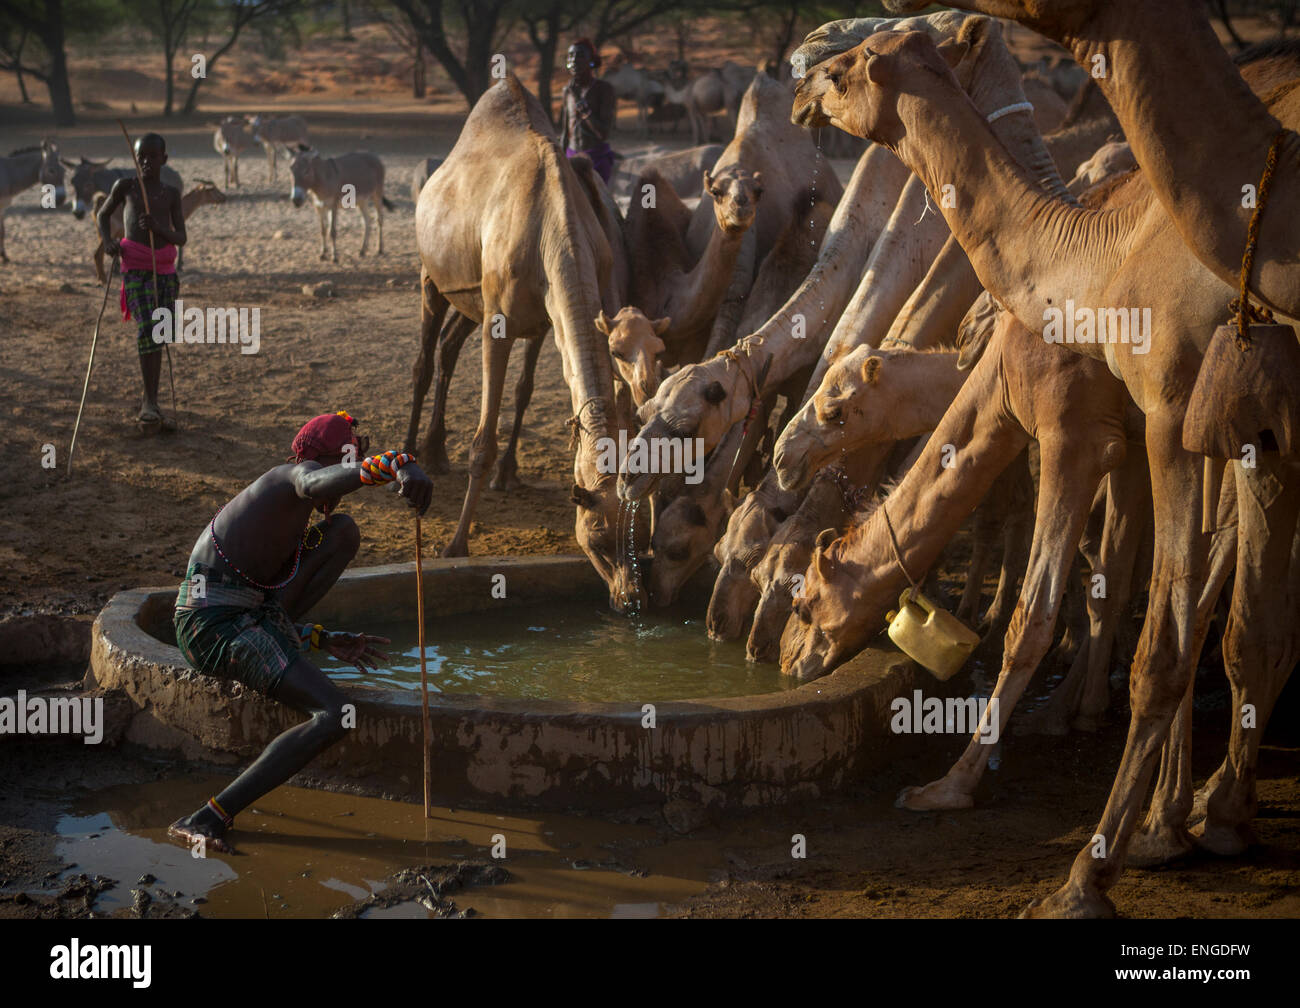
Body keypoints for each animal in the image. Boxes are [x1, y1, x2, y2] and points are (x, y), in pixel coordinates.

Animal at [92, 179, 228, 282]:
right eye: (213, 189)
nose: (224, 198)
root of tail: (98, 204)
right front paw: (178, 266)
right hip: (110, 233)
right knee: (97, 253)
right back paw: (103, 281)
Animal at [407, 73, 645, 613]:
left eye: (641, 535)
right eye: (598, 538)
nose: (629, 600)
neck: (557, 232)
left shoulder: (548, 318)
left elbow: (525, 392)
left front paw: (509, 473)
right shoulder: (498, 319)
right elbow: (482, 440)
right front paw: (455, 545)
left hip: (469, 296)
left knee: (450, 346)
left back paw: (436, 453)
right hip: (432, 275)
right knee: (425, 359)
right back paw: (409, 455)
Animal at [790, 22, 1300, 917]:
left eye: (806, 600)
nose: (785, 658)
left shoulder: (1080, 434)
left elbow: (1052, 607)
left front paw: (956, 784)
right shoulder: (1131, 444)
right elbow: (1120, 577)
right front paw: (1086, 722)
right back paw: (1206, 805)